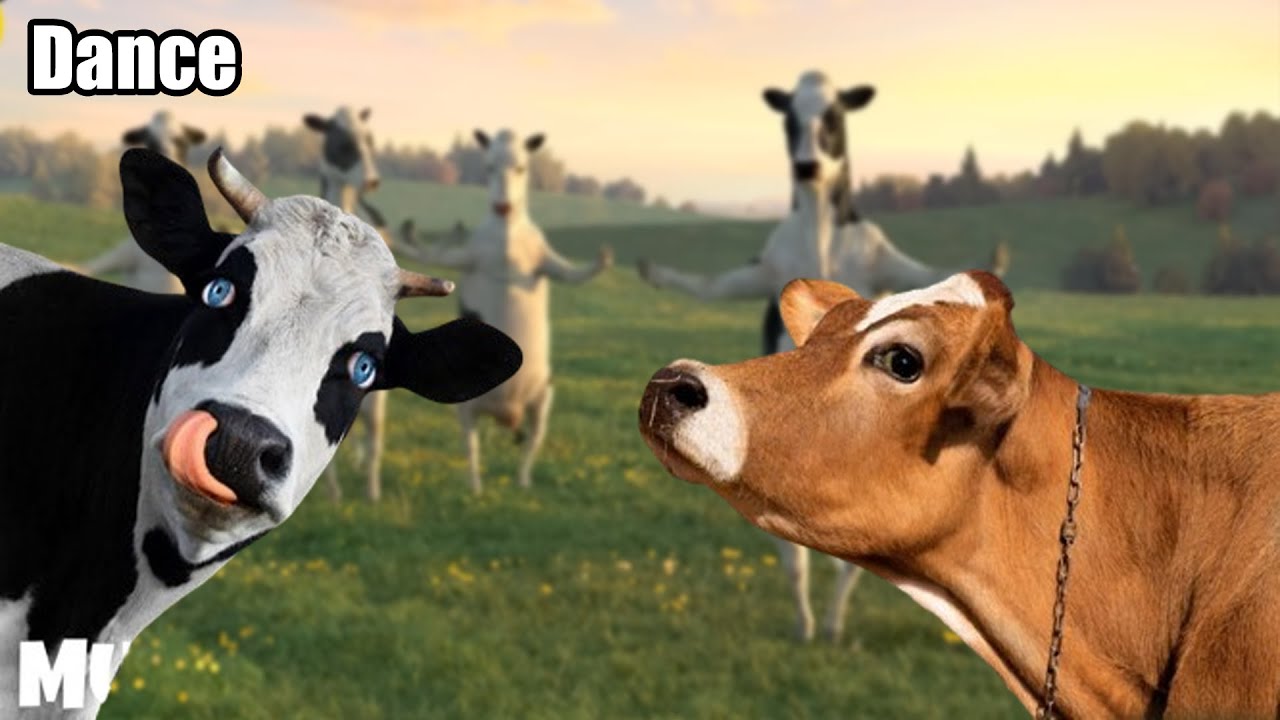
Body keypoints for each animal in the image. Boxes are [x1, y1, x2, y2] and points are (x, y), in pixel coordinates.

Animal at [398, 129, 612, 493]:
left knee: (532, 442)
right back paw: (476, 486)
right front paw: (408, 236)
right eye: (487, 166)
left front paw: (603, 258)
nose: (503, 206)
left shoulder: (545, 261)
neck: (507, 235)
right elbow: (432, 257)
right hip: (465, 404)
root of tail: (507, 412)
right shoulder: (467, 258)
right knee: (471, 444)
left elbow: (573, 272)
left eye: (522, 167)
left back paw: (523, 481)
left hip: (543, 396)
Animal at [636, 70, 1008, 643]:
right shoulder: (766, 270)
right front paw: (806, 625)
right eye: (790, 119)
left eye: (834, 117)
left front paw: (832, 625)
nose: (807, 166)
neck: (820, 234)